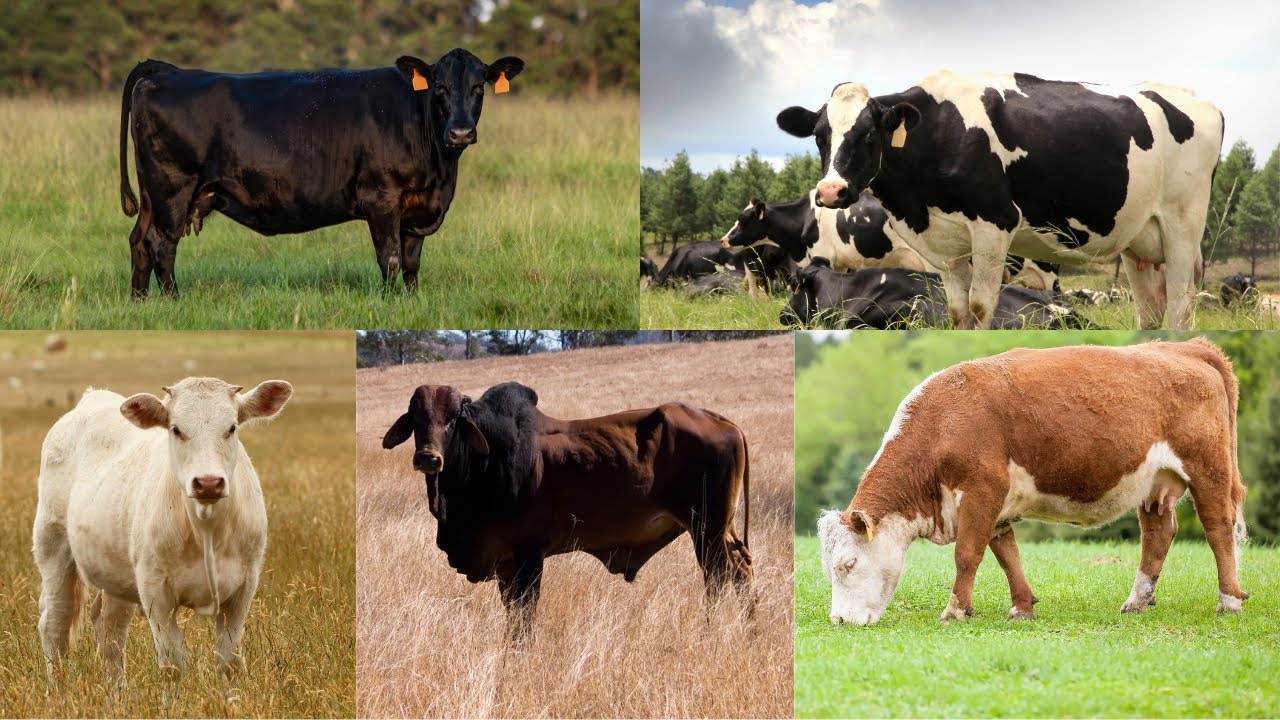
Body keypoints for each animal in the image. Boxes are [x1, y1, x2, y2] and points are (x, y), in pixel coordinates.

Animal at [33, 377, 291, 694]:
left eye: (231, 428)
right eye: (176, 429)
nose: (208, 483)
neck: (206, 531)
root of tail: (93, 398)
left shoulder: (243, 587)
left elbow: (229, 662)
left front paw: (232, 702)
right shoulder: (155, 590)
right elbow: (172, 663)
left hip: (116, 573)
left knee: (110, 629)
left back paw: (118, 697)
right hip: (53, 547)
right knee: (55, 624)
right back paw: (57, 694)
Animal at [118, 50, 524, 297]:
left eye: (478, 87)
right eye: (439, 86)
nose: (460, 132)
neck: (439, 171)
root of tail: (172, 72)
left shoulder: (416, 207)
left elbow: (411, 263)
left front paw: (411, 302)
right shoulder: (381, 198)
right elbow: (390, 258)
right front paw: (391, 303)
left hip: (152, 193)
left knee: (139, 241)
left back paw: (139, 302)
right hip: (173, 188)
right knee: (162, 245)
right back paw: (172, 300)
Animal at [381, 382, 754, 642]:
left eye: (453, 420)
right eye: (416, 419)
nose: (428, 458)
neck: (484, 463)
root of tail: (724, 422)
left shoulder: (529, 557)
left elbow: (525, 617)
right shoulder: (505, 563)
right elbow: (512, 616)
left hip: (706, 529)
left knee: (718, 578)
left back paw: (711, 632)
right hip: (721, 529)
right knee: (742, 570)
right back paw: (751, 628)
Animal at [777, 72, 1223, 329]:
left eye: (869, 134)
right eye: (819, 135)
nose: (830, 191)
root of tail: (1201, 101)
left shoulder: (995, 223)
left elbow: (980, 308)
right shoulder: (947, 244)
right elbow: (958, 313)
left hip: (1182, 224)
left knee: (1180, 307)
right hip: (1140, 240)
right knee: (1151, 311)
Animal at [817, 339, 1247, 626]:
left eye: (848, 564)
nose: (839, 620)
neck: (942, 425)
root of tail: (1187, 346)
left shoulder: (982, 489)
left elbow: (967, 554)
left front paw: (955, 610)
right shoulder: (996, 502)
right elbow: (1007, 555)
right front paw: (1022, 607)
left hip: (1208, 469)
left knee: (1218, 529)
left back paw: (1229, 601)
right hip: (1153, 482)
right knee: (1158, 532)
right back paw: (1137, 601)